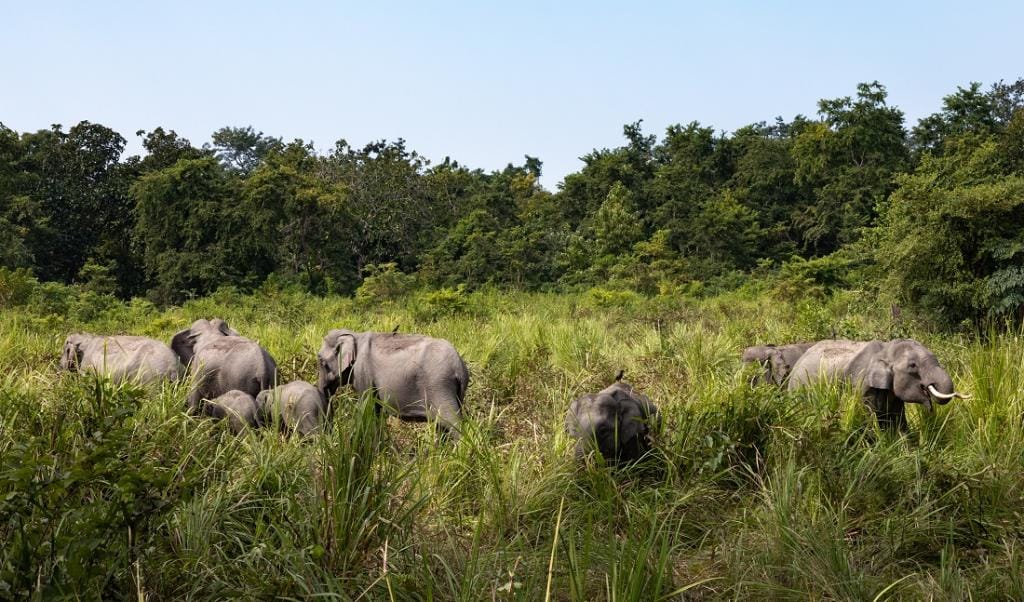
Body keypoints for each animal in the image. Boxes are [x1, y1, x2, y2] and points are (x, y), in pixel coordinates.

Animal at [316, 329, 469, 439]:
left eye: (322, 362)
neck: (354, 334)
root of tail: (458, 365)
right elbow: (375, 410)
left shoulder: (362, 371)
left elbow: (366, 408)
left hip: (439, 385)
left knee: (451, 423)